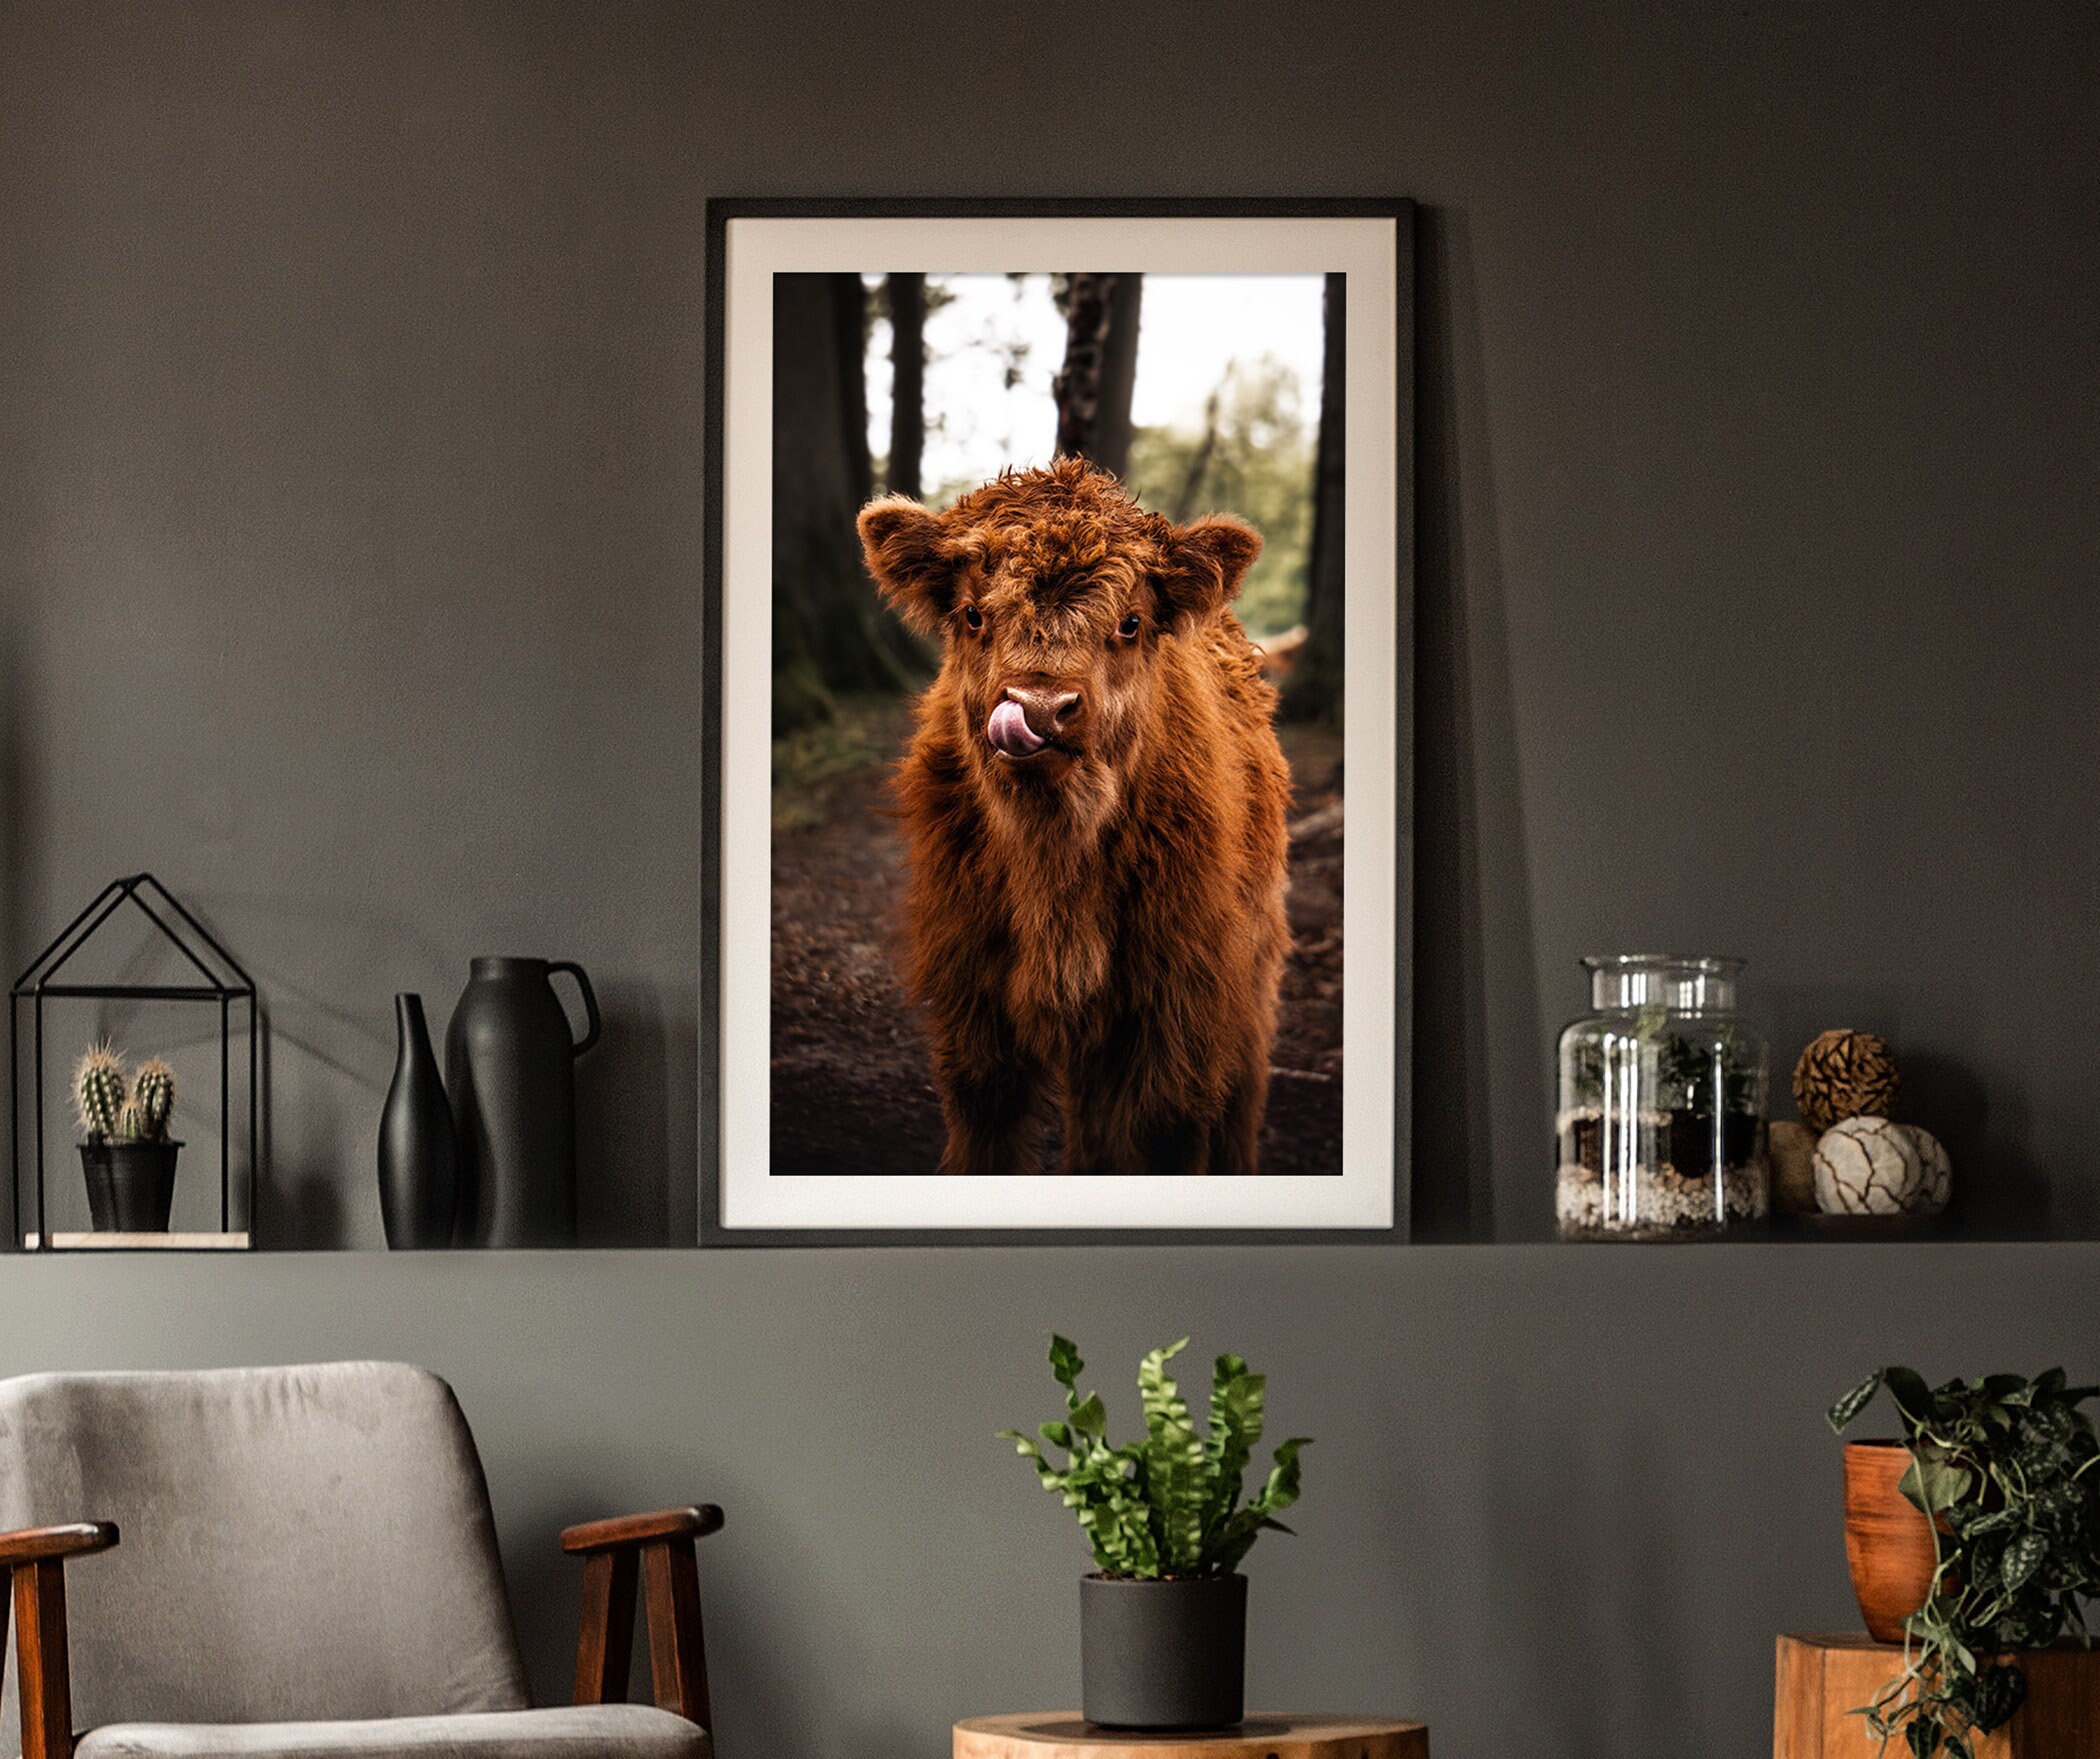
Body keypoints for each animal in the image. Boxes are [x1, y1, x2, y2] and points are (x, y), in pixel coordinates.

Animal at [856, 456, 1293, 1176]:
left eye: (1131, 622)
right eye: (972, 614)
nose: (1040, 706)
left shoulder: (1174, 1008)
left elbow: (1154, 1133)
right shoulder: (972, 1001)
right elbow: (988, 1130)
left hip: (1250, 974)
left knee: (1239, 1092)